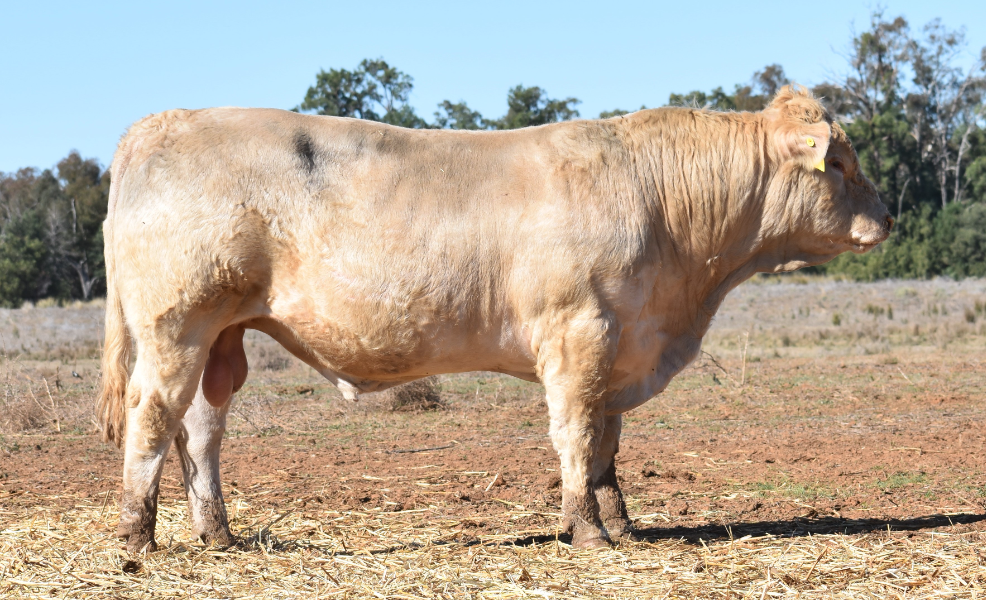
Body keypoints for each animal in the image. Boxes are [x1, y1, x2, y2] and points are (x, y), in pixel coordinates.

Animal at [97, 85, 892, 553]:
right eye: (842, 163)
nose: (886, 218)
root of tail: (161, 121)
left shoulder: (621, 344)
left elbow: (608, 443)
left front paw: (622, 525)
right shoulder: (579, 334)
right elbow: (576, 436)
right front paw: (588, 532)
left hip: (221, 339)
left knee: (202, 432)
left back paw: (218, 536)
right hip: (176, 326)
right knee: (151, 418)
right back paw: (138, 538)